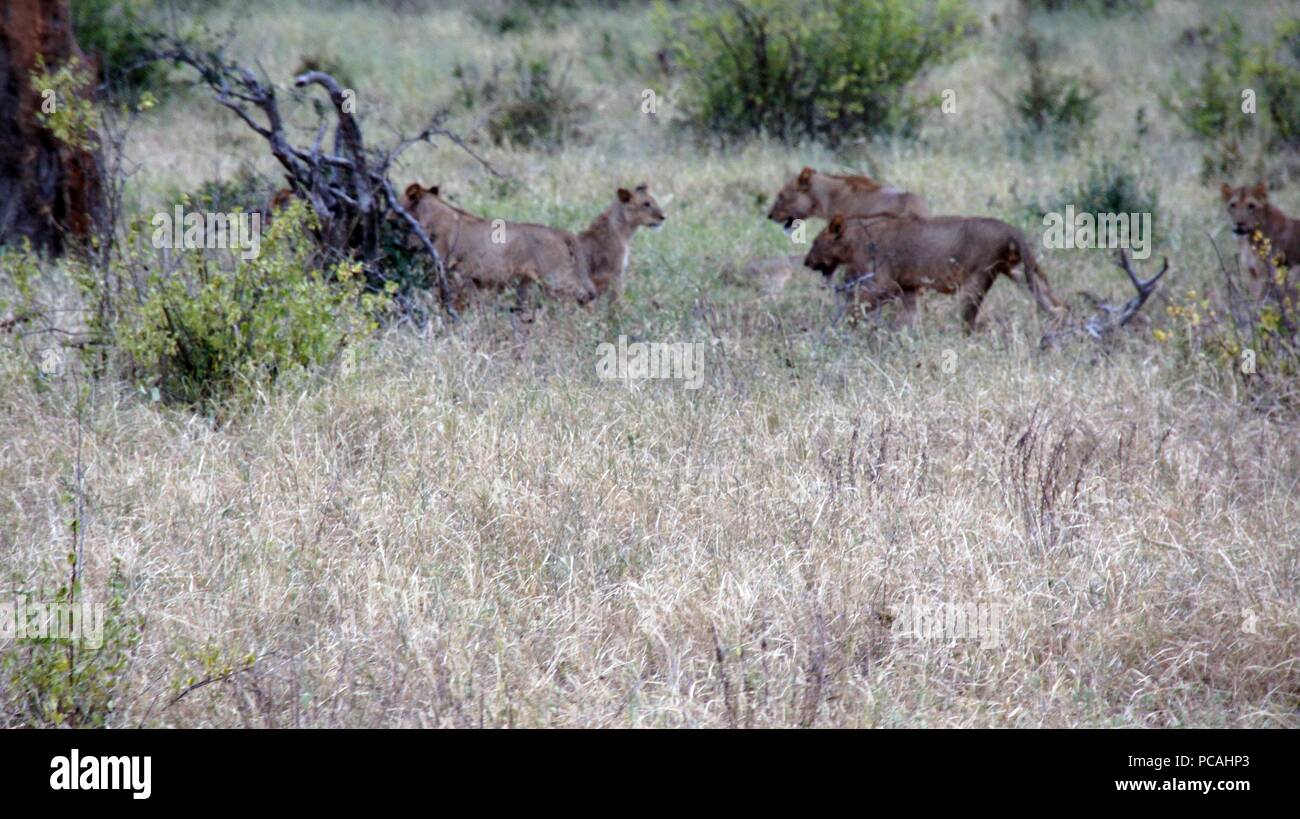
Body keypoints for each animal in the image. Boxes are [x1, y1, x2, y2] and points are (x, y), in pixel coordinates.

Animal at [804, 214, 1064, 330]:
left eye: (815, 243)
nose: (806, 262)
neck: (854, 241)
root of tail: (1011, 229)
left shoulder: (885, 285)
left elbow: (856, 307)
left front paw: (840, 326)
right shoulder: (908, 287)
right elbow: (909, 317)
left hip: (977, 279)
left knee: (967, 319)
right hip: (1018, 271)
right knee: (1046, 300)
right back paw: (1060, 323)